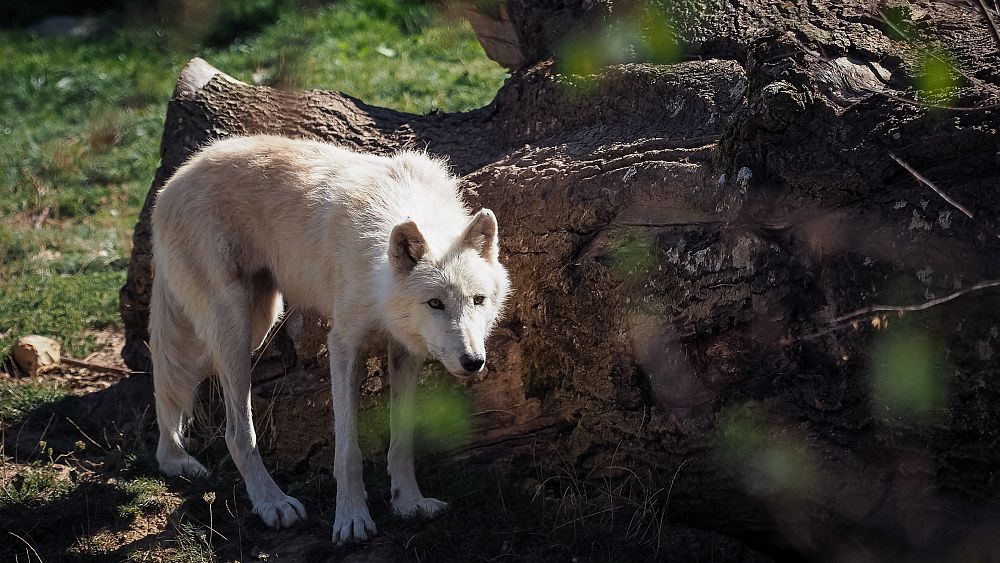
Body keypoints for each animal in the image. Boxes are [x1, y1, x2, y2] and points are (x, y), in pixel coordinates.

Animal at [149, 135, 511, 543]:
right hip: (241, 331)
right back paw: (273, 503)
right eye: (435, 303)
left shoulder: (405, 350)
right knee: (235, 433)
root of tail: (174, 180)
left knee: (171, 382)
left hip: (250, 326)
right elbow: (348, 452)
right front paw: (352, 519)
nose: (473, 362)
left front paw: (409, 503)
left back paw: (173, 460)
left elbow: (403, 440)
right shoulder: (343, 345)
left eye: (478, 300)